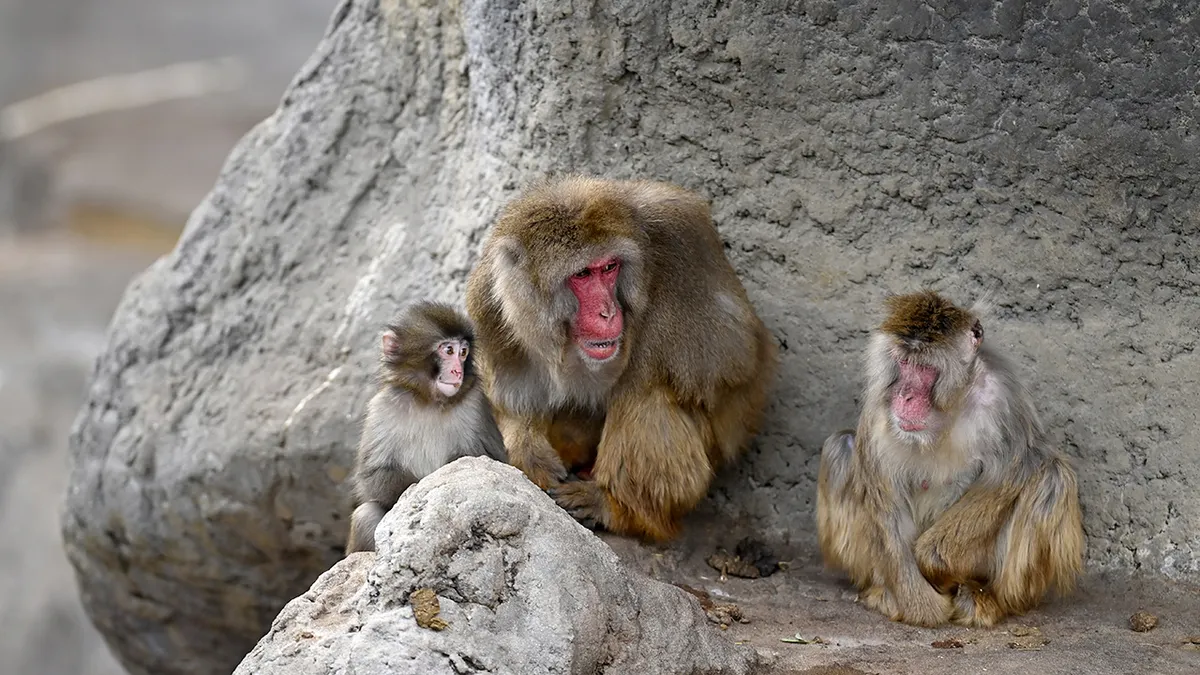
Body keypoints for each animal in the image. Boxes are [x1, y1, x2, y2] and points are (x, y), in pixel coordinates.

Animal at [344, 301, 507, 554]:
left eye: (463, 352)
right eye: (448, 351)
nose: (457, 371)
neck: (429, 402)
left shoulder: (475, 404)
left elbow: (496, 463)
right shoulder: (381, 408)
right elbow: (373, 476)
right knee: (365, 514)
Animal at [464, 175, 778, 542]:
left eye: (609, 268)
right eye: (583, 275)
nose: (608, 312)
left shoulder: (684, 237)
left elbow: (733, 352)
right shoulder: (491, 298)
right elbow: (510, 396)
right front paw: (528, 451)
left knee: (643, 393)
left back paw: (616, 507)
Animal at [816, 290, 1085, 628]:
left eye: (924, 368)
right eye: (903, 363)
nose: (904, 396)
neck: (947, 407)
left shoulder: (1002, 396)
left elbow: (1011, 472)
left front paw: (934, 564)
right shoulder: (879, 409)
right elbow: (885, 500)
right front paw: (923, 607)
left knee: (1052, 476)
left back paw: (988, 599)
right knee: (842, 447)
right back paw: (884, 593)